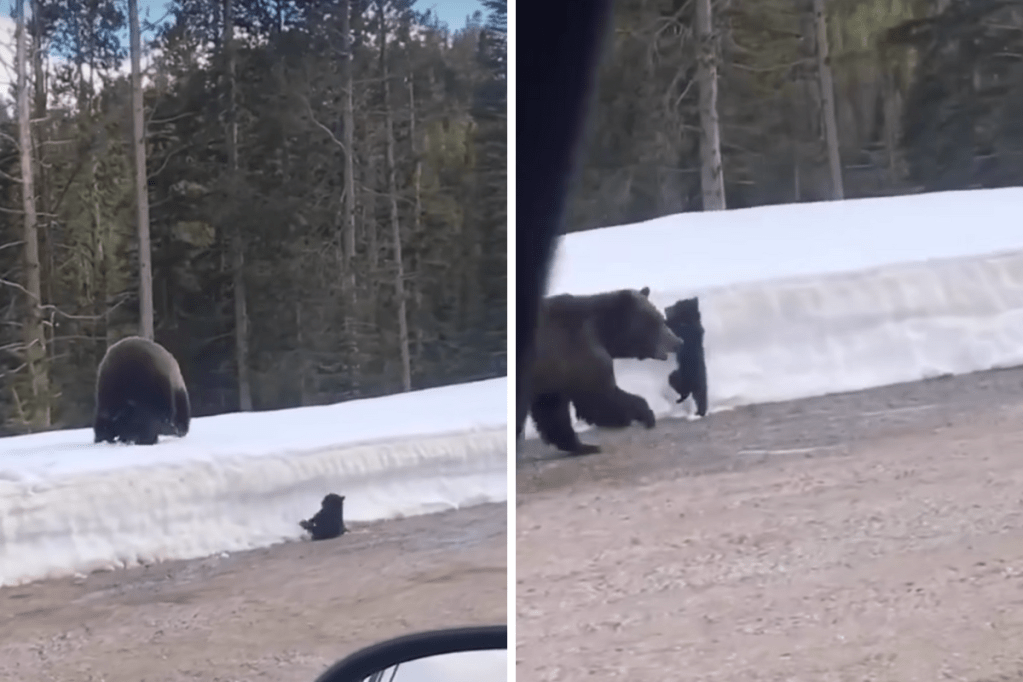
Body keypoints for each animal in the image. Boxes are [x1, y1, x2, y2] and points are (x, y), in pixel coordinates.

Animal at [520, 286, 683, 455]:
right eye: (657, 321)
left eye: (661, 318)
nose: (678, 342)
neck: (603, 332)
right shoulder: (579, 353)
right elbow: (600, 397)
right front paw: (646, 414)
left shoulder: (554, 375)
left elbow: (551, 410)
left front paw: (582, 446)